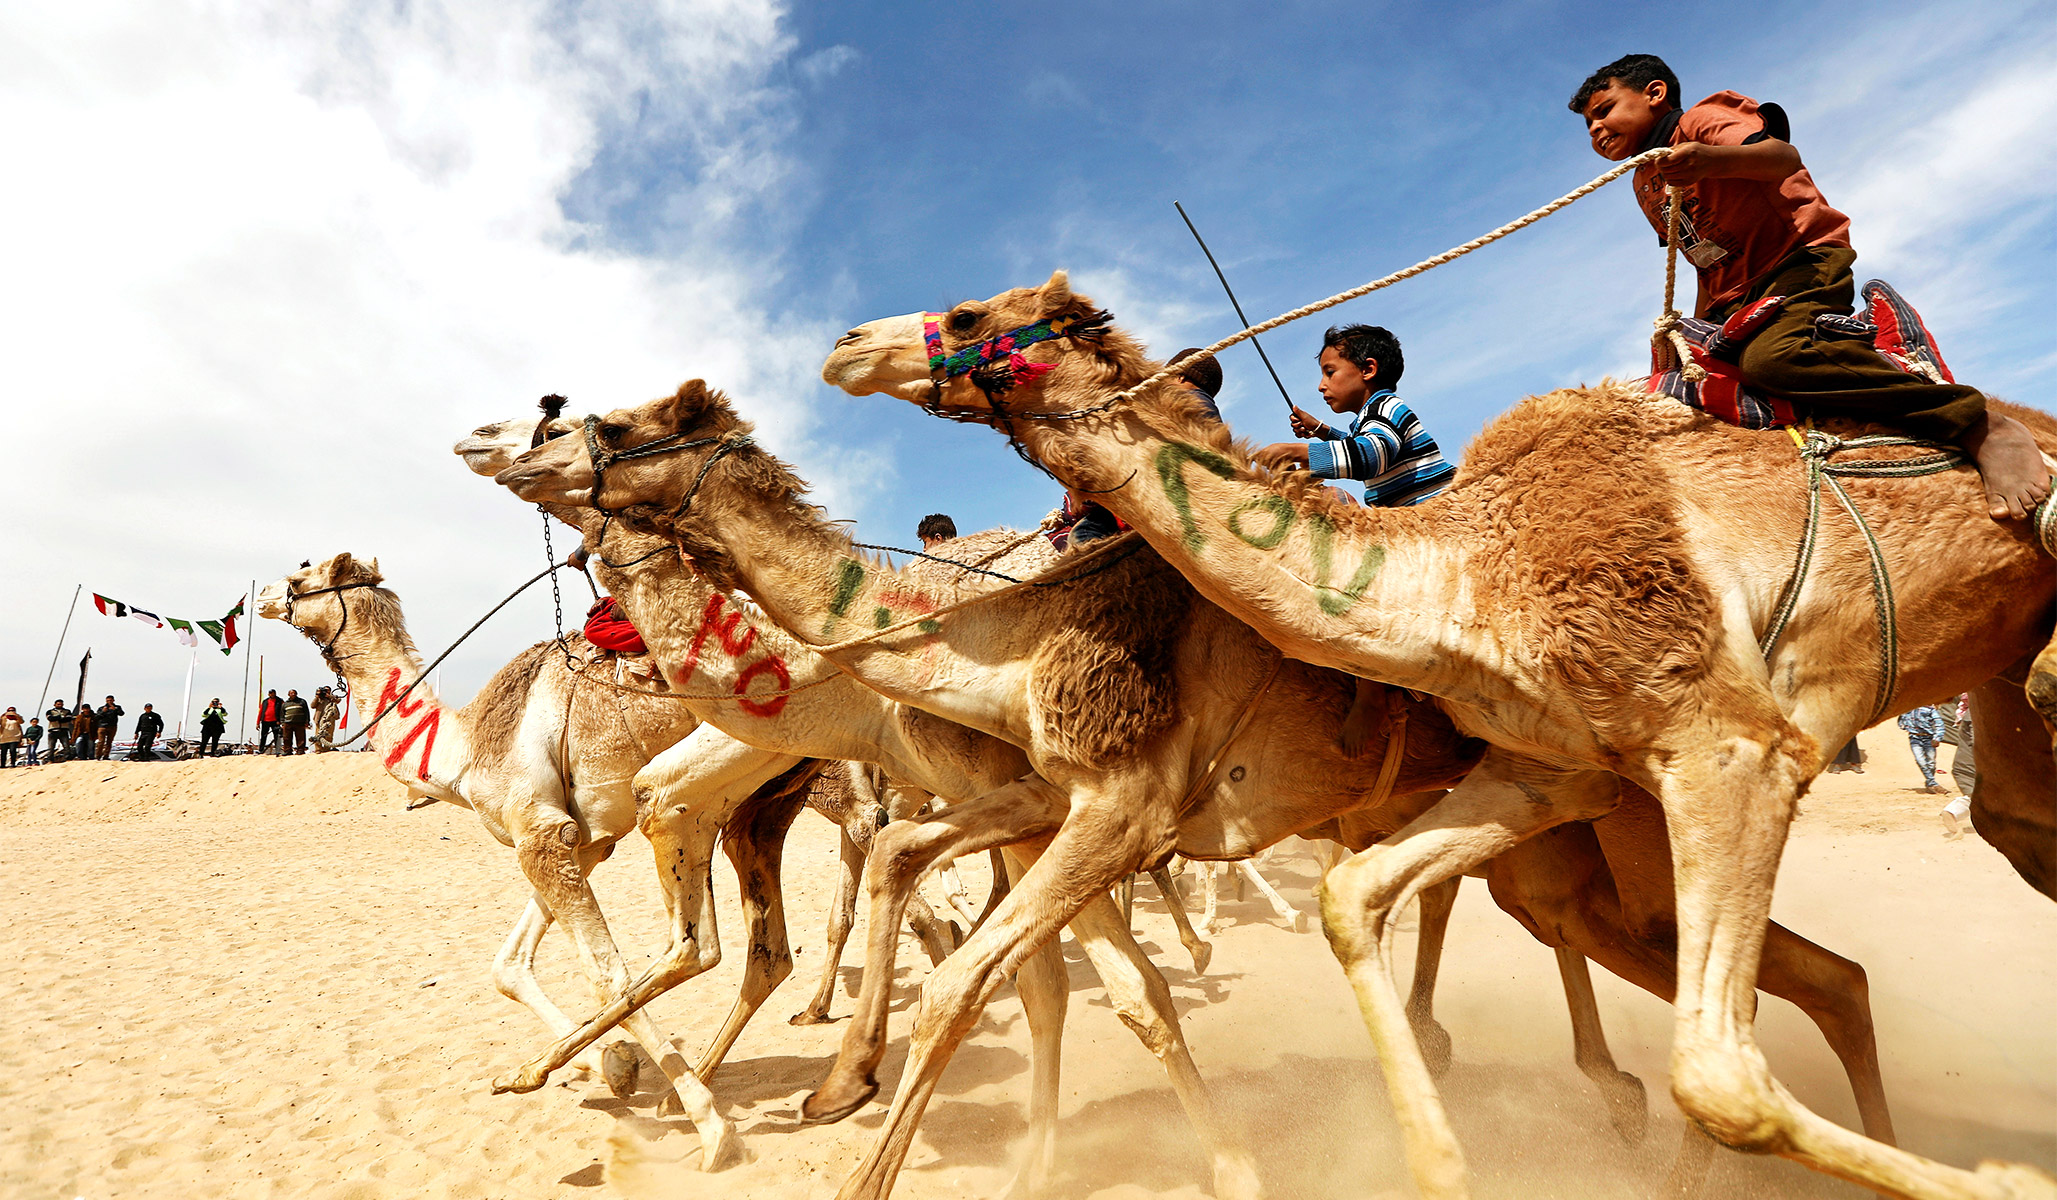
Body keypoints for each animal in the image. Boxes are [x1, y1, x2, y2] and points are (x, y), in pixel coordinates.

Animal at [497, 380, 1903, 1200]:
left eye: (613, 428)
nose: (496, 442)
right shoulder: (1050, 810)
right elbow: (1059, 972)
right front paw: (871, 1096)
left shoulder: (1087, 804)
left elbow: (1007, 961)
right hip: (1566, 845)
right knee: (1772, 967)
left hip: (1606, 815)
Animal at [819, 273, 2057, 1200]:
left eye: (968, 313)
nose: (842, 343)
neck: (1471, 573)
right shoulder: (1549, 766)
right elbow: (1347, 898)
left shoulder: (1729, 746)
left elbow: (1721, 1077)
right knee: (1940, 886)